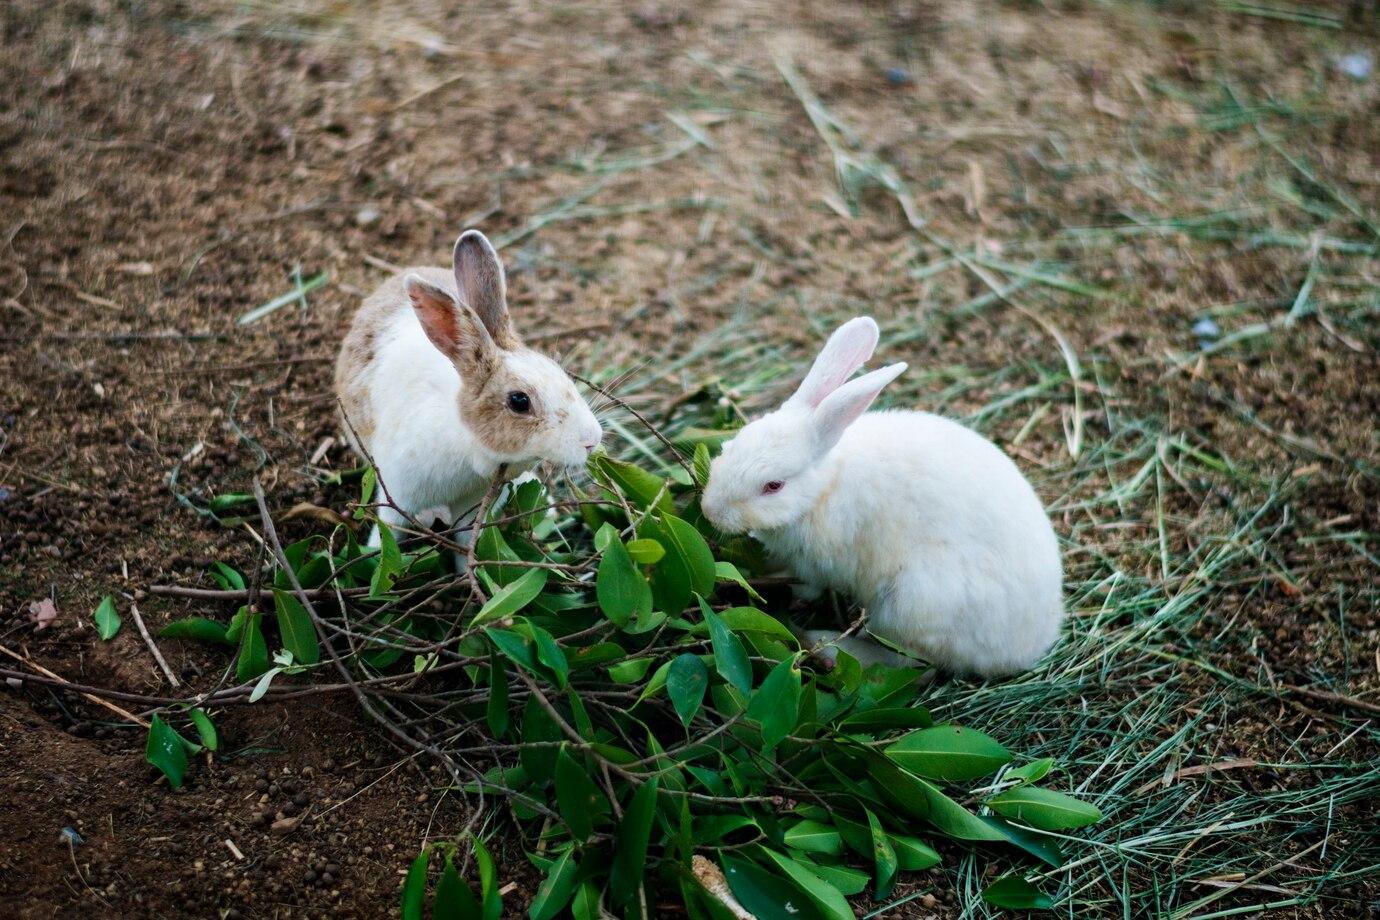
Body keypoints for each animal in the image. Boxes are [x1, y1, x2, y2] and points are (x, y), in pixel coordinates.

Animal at [335, 229, 603, 549]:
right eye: (519, 401)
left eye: (559, 370)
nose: (591, 440)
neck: (468, 443)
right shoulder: (399, 494)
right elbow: (386, 533)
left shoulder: (473, 508)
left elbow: (465, 545)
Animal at [700, 317, 1063, 678]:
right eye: (729, 445)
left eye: (773, 486)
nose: (709, 510)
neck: (825, 485)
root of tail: (1029, 648)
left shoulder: (816, 565)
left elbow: (808, 586)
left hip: (911, 602)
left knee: (912, 663)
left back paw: (827, 646)